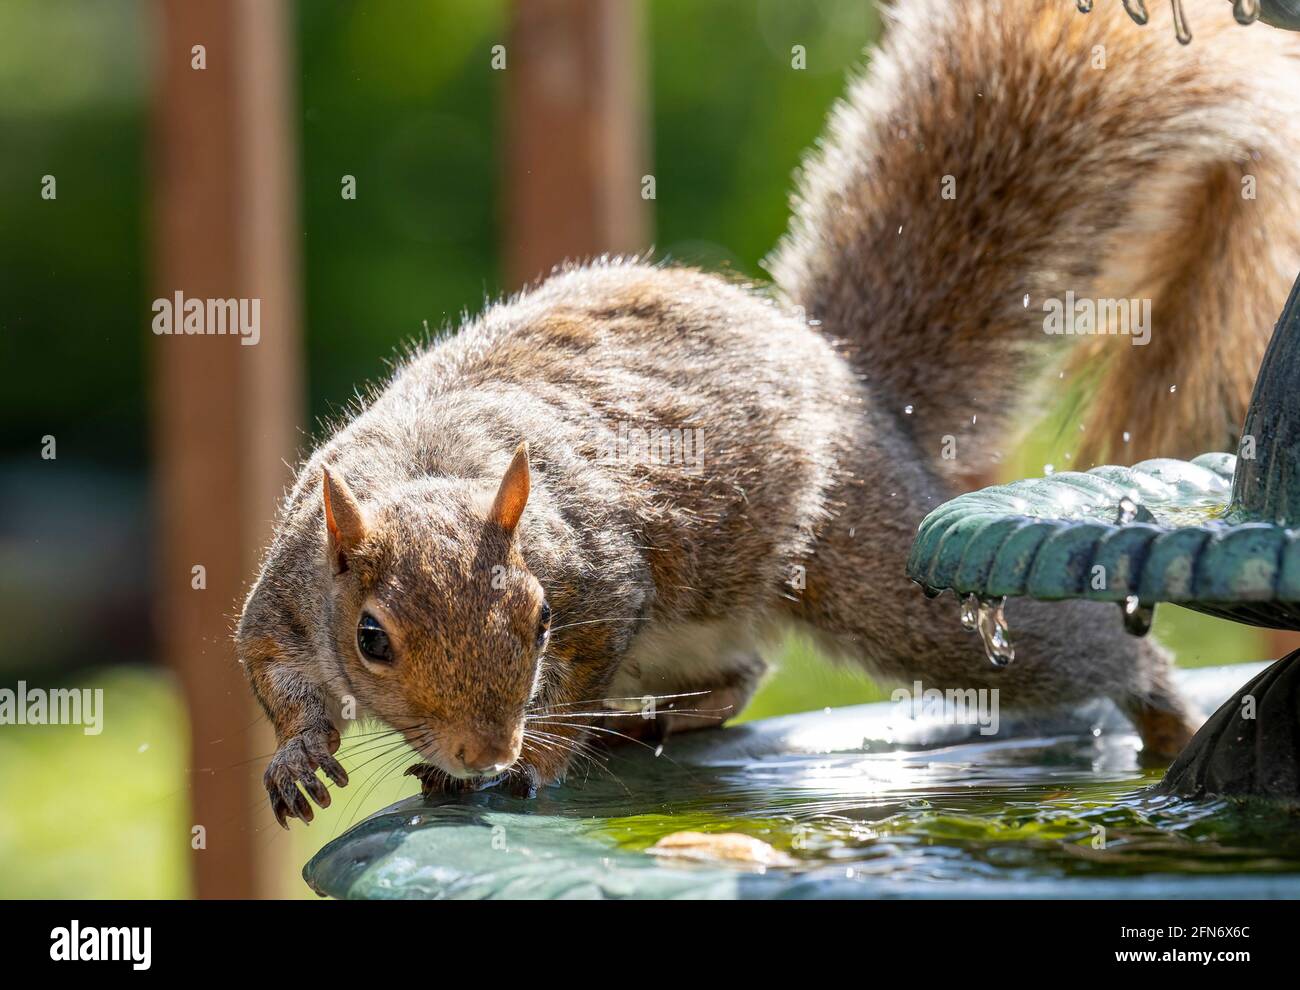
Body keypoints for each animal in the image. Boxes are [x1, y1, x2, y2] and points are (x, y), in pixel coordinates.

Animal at [237, 0, 1300, 826]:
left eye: (537, 620)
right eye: (371, 639)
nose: (482, 752)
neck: (433, 465)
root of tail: (841, 372)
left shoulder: (601, 581)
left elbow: (575, 679)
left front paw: (535, 761)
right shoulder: (290, 584)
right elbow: (271, 665)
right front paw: (297, 757)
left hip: (883, 580)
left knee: (1063, 654)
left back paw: (1166, 720)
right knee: (744, 670)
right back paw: (656, 718)